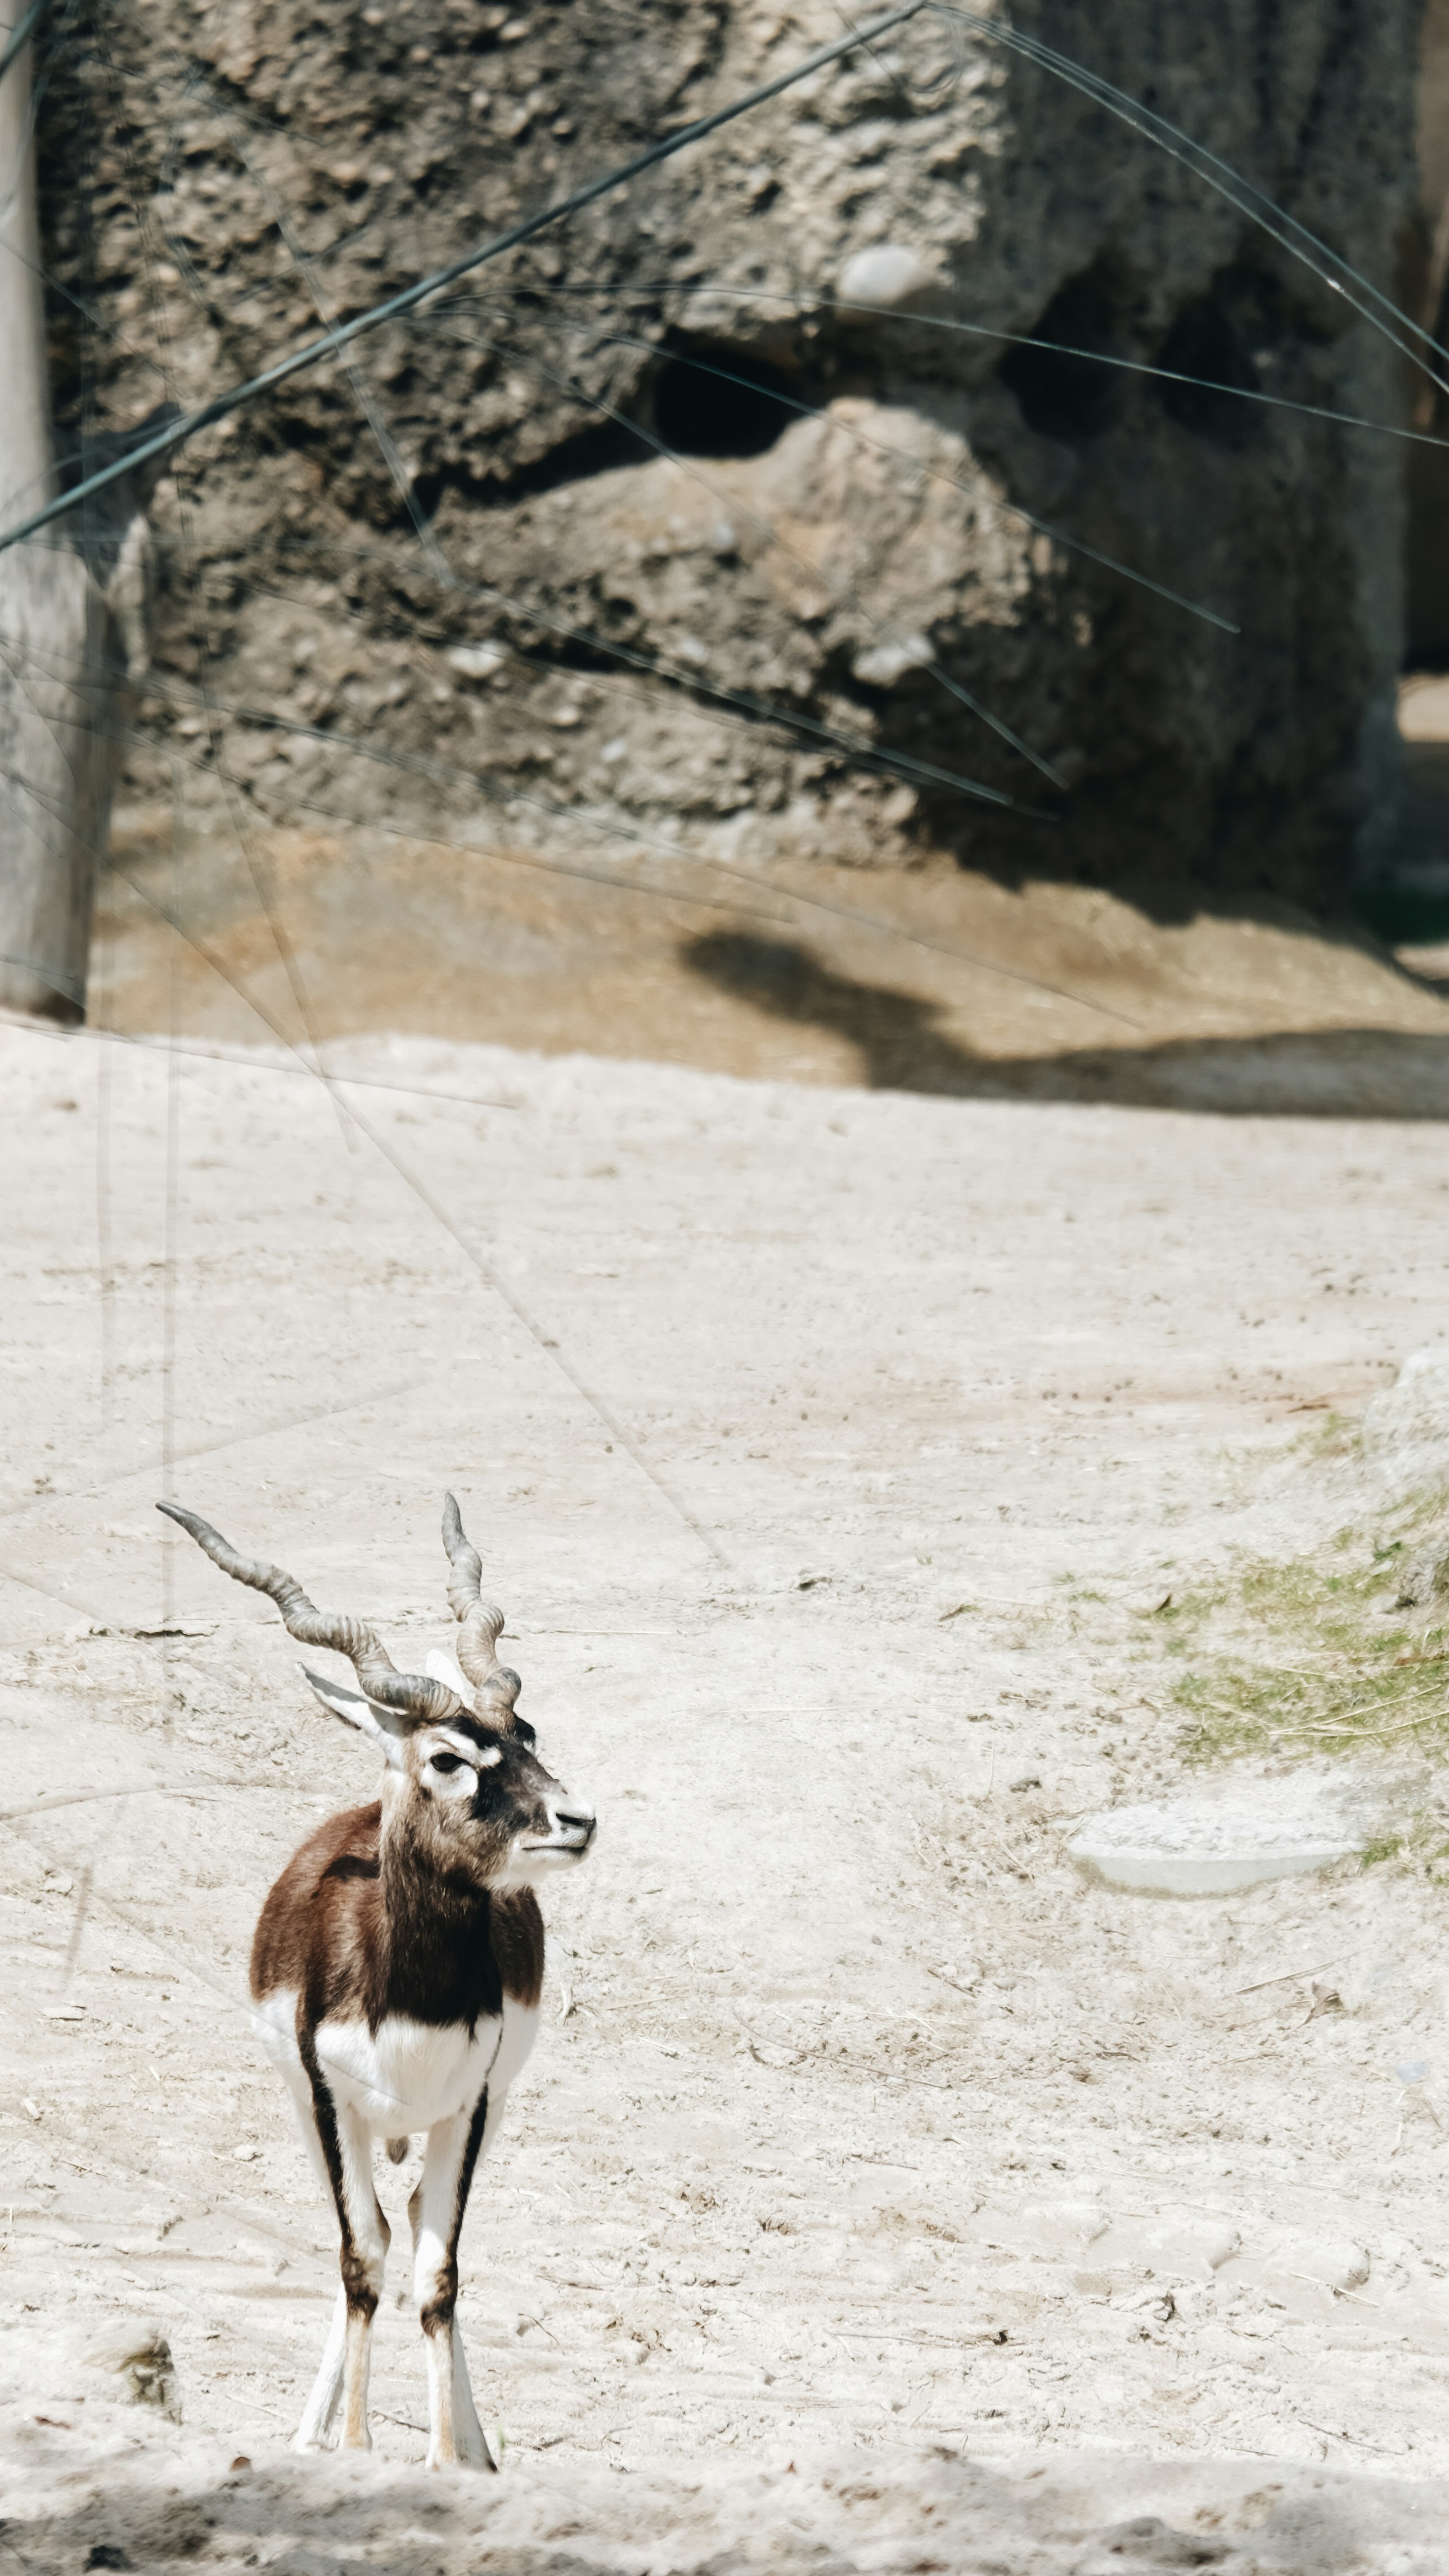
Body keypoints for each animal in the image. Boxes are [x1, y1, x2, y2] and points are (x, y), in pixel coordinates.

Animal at [158, 1492, 596, 2468]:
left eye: (526, 1735)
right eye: (448, 1757)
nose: (576, 1817)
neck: (413, 2001)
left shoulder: (470, 2105)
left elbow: (439, 2276)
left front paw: (446, 2458)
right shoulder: (331, 2101)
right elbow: (361, 2257)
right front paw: (352, 2447)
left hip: (479, 2114)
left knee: (418, 2230)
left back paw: (475, 2448)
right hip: (307, 2107)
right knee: (373, 2237)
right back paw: (310, 2432)